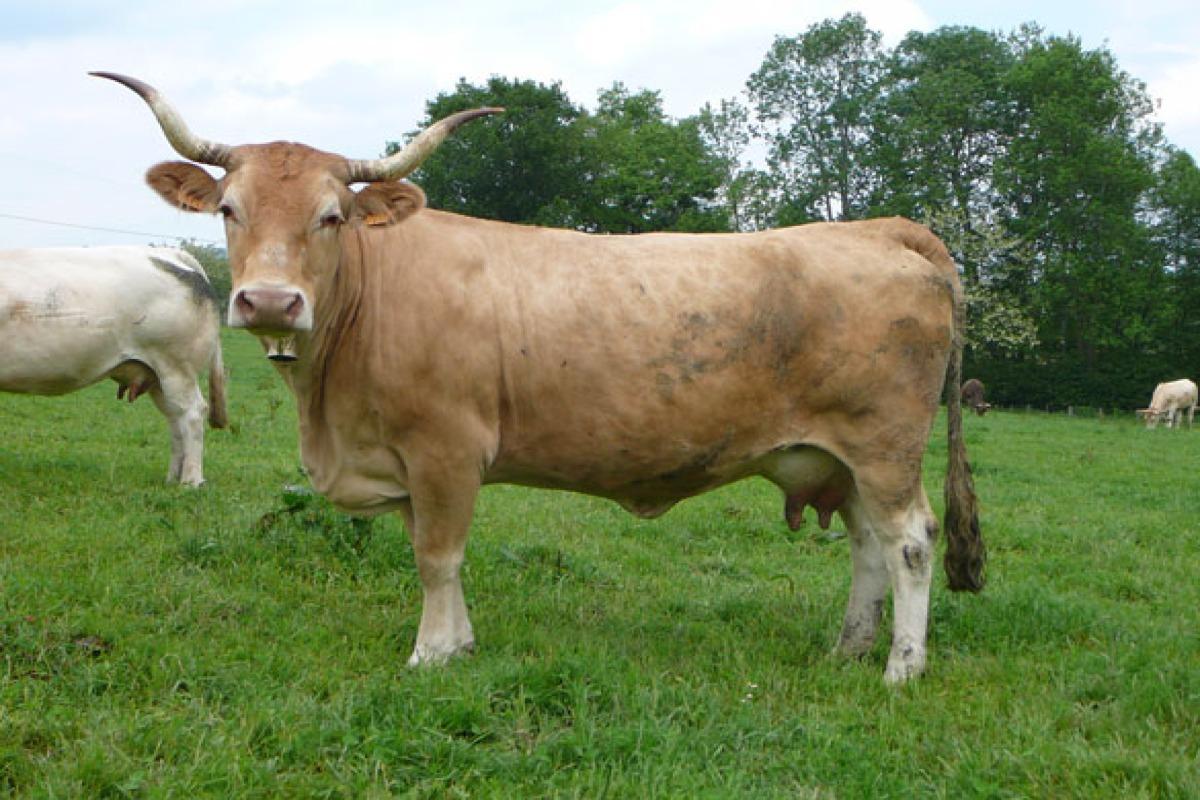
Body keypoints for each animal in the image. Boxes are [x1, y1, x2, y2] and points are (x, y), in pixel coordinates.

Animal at [0, 245, 227, 486]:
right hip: (160, 377)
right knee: (175, 421)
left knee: (192, 414)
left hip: (177, 368)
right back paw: (172, 479)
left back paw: (190, 481)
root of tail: (168, 254)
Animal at [95, 72, 984, 684]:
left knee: (909, 543)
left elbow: (437, 555)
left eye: (331, 216)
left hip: (884, 447)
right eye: (229, 211)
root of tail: (883, 230)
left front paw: (433, 653)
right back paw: (850, 648)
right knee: (868, 547)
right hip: (844, 458)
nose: (272, 299)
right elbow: (431, 552)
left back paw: (902, 667)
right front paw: (459, 642)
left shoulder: (446, 448)